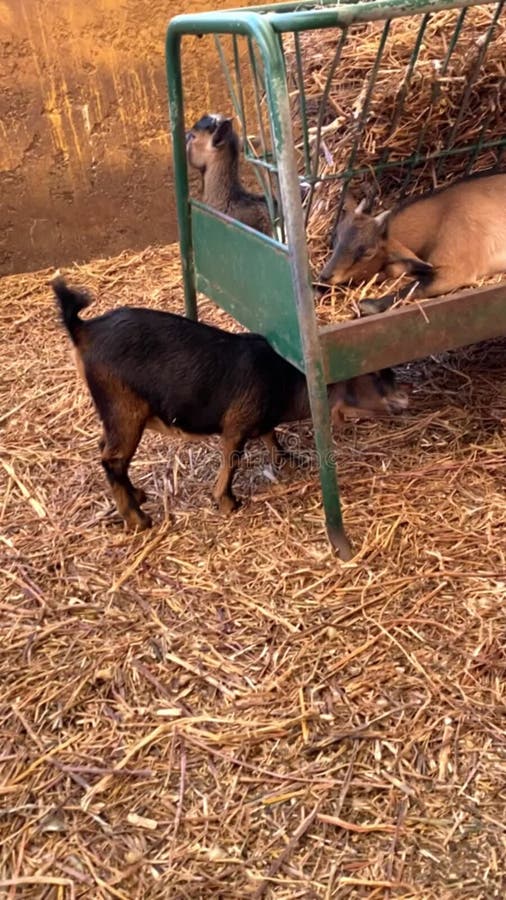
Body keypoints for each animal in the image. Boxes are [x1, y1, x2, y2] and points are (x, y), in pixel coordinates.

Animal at [53, 278, 410, 530]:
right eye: (372, 373)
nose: (403, 400)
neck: (282, 380)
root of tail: (83, 328)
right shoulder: (238, 421)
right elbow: (234, 458)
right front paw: (228, 503)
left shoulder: (261, 420)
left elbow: (271, 435)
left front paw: (291, 460)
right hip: (124, 406)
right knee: (112, 459)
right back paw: (140, 520)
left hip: (114, 412)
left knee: (106, 449)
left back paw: (138, 496)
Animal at [318, 172, 506, 315]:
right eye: (336, 236)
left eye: (368, 253)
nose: (325, 276)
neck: (441, 217)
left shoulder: (456, 269)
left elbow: (417, 286)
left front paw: (370, 304)